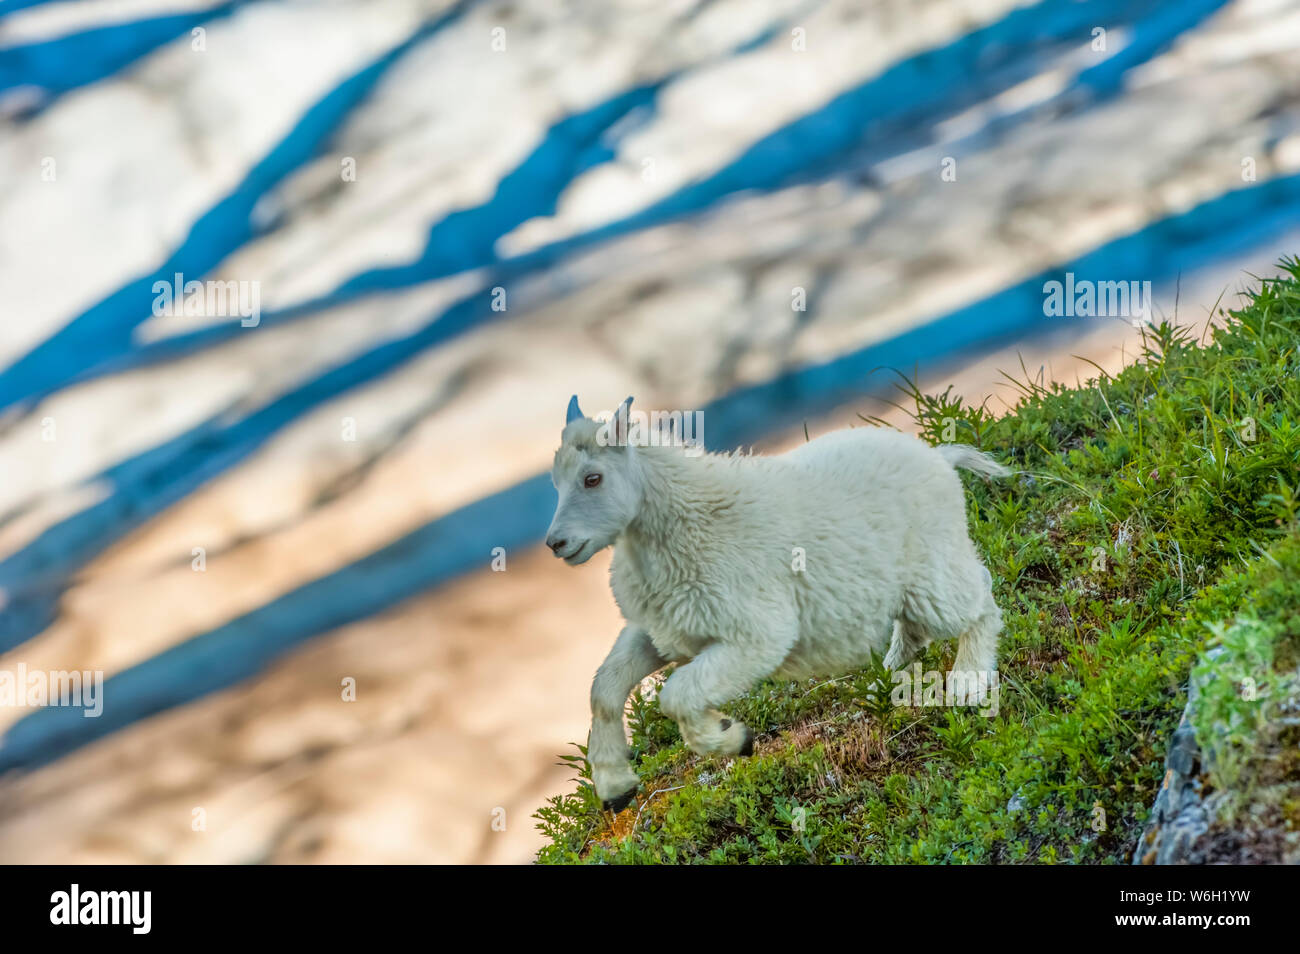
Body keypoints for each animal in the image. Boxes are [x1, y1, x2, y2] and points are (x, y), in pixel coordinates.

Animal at [546, 395, 1008, 811]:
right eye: (555, 480)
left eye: (592, 478)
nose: (556, 543)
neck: (684, 525)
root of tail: (940, 459)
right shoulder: (665, 630)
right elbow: (604, 688)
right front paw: (616, 788)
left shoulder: (755, 635)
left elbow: (676, 695)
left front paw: (733, 738)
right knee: (915, 627)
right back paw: (885, 675)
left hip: (934, 568)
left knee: (981, 600)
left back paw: (967, 682)